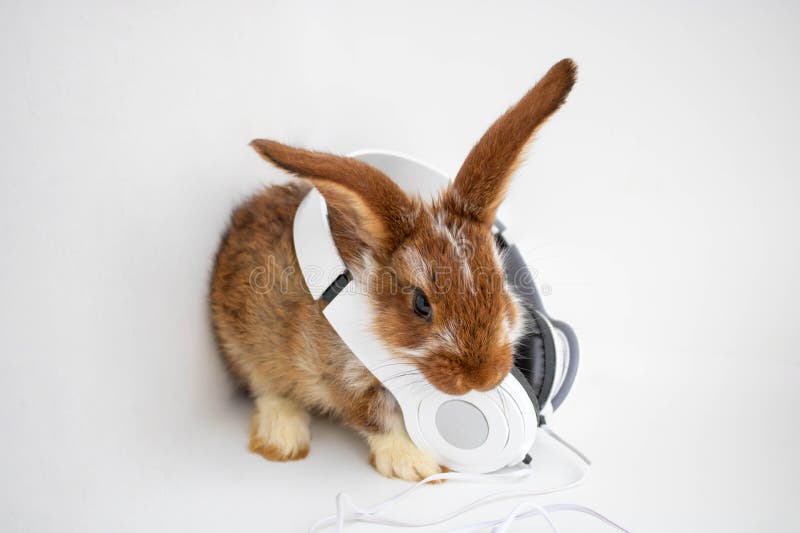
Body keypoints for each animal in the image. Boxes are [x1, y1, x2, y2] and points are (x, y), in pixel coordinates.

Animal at [210, 59, 577, 481]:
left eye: (500, 284)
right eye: (421, 304)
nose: (482, 378)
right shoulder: (341, 375)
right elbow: (377, 417)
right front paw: (417, 466)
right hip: (246, 341)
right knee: (268, 386)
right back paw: (283, 439)